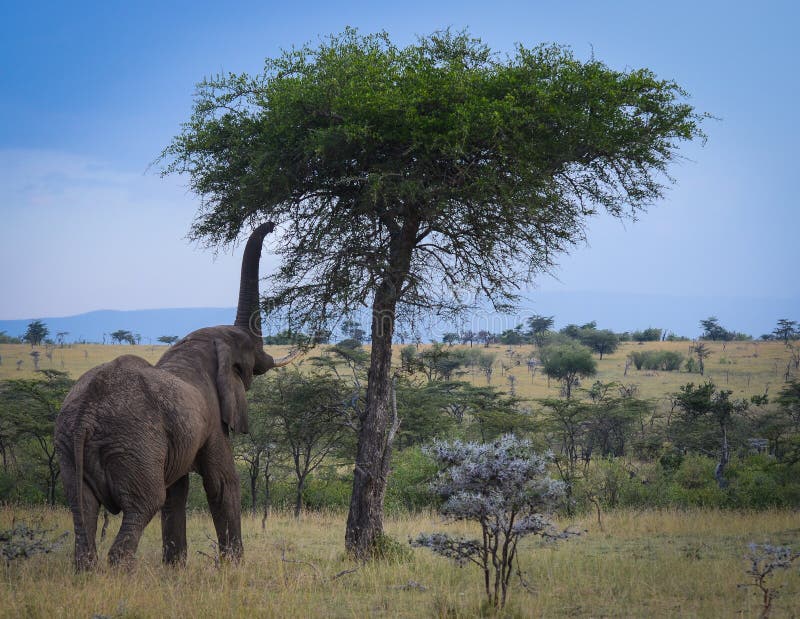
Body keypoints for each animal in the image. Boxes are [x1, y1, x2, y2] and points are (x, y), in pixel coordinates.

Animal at [55, 222, 297, 570]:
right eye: (249, 358)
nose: (272, 224)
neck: (196, 348)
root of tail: (86, 412)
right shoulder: (212, 422)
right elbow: (221, 483)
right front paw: (234, 569)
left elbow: (178, 492)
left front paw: (175, 570)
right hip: (134, 442)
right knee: (145, 503)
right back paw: (119, 574)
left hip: (69, 446)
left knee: (82, 507)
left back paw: (87, 573)